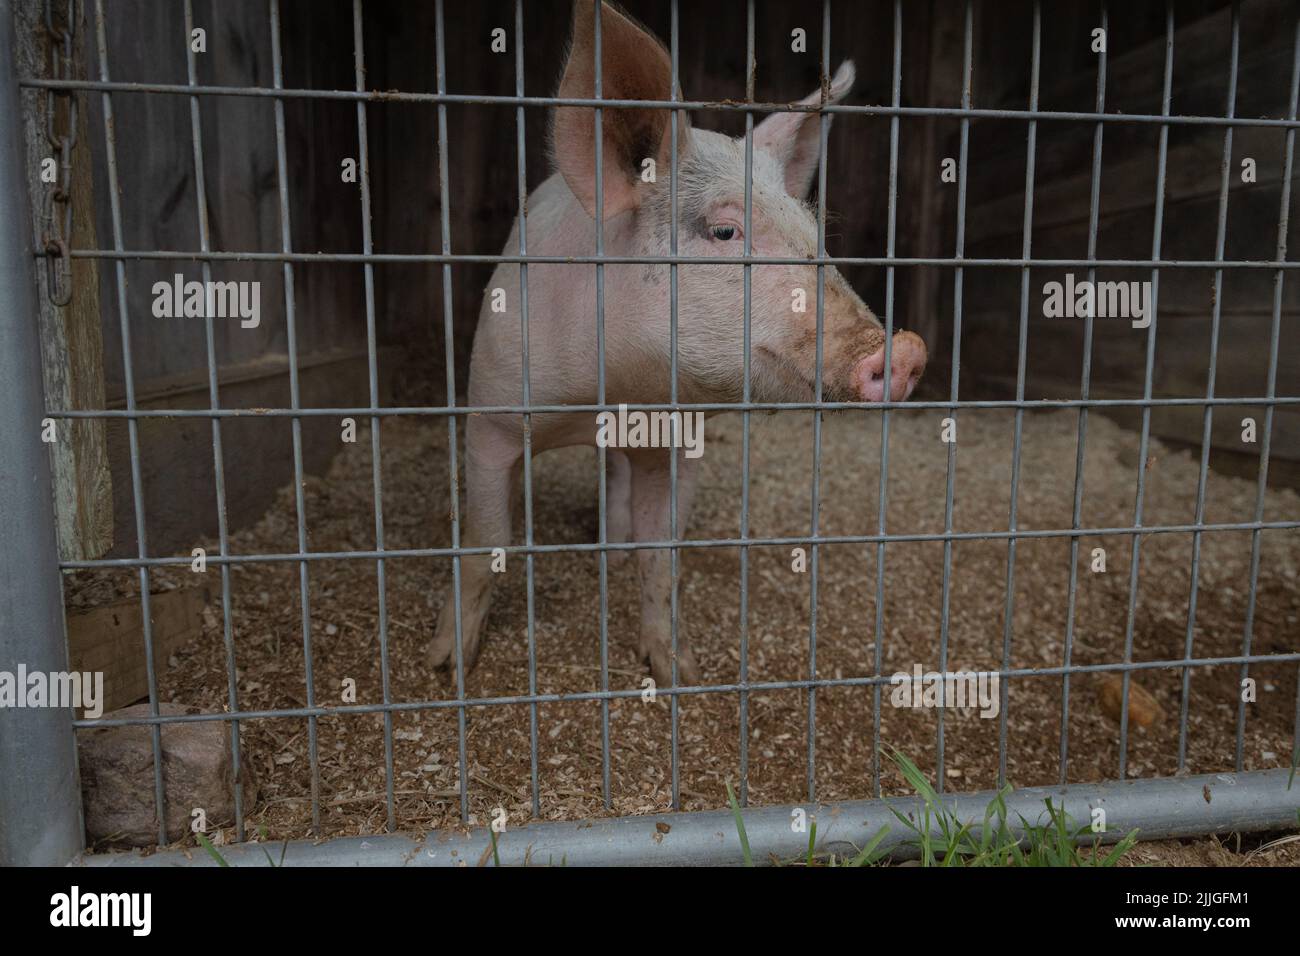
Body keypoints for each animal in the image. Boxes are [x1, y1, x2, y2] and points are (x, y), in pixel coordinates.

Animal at [429, 0, 927, 688]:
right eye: (724, 231)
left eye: (814, 234)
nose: (904, 351)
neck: (618, 389)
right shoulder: (491, 415)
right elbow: (483, 545)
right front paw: (449, 667)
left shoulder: (676, 441)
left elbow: (662, 560)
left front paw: (678, 674)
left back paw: (612, 555)